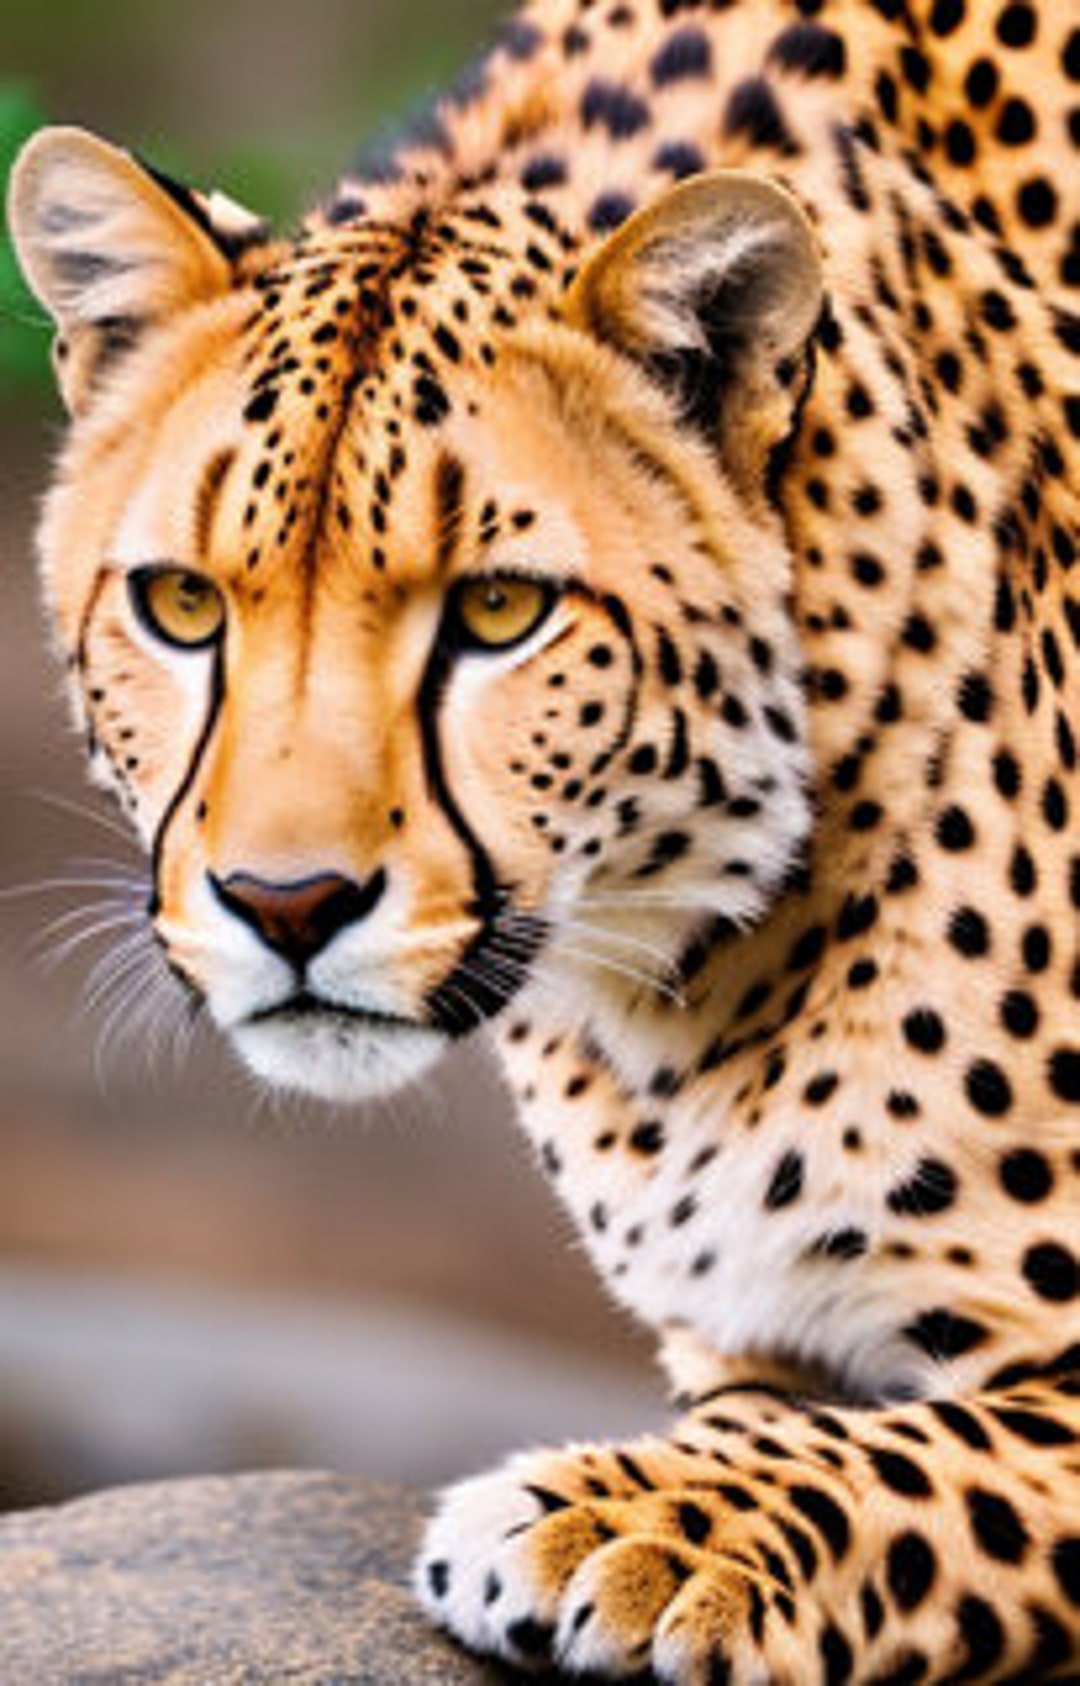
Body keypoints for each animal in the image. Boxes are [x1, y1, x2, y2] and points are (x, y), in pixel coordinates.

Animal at [8, 0, 1080, 1678]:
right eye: (181, 604)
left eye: (501, 610)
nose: (286, 903)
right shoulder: (745, 1337)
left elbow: (933, 1450)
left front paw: (630, 1524)